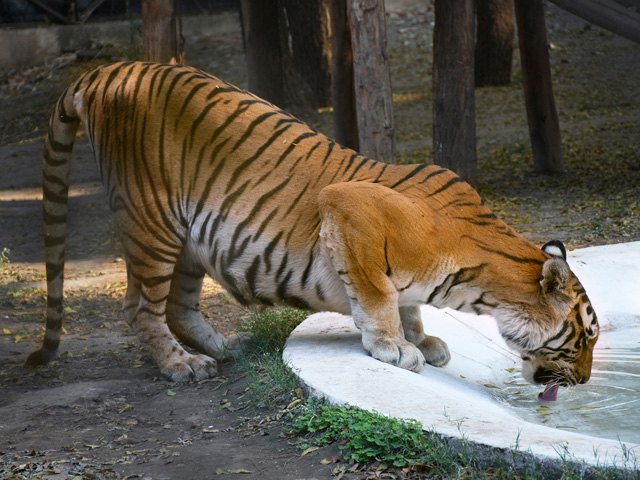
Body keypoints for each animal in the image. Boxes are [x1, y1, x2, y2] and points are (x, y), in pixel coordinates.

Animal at [27, 62, 599, 395]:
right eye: (584, 337)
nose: (584, 381)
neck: (479, 284)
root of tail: (110, 68)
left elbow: (407, 303)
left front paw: (421, 338)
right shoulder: (348, 207)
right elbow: (379, 297)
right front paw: (393, 347)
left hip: (188, 240)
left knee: (178, 306)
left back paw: (225, 349)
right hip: (152, 221)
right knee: (140, 307)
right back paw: (181, 366)